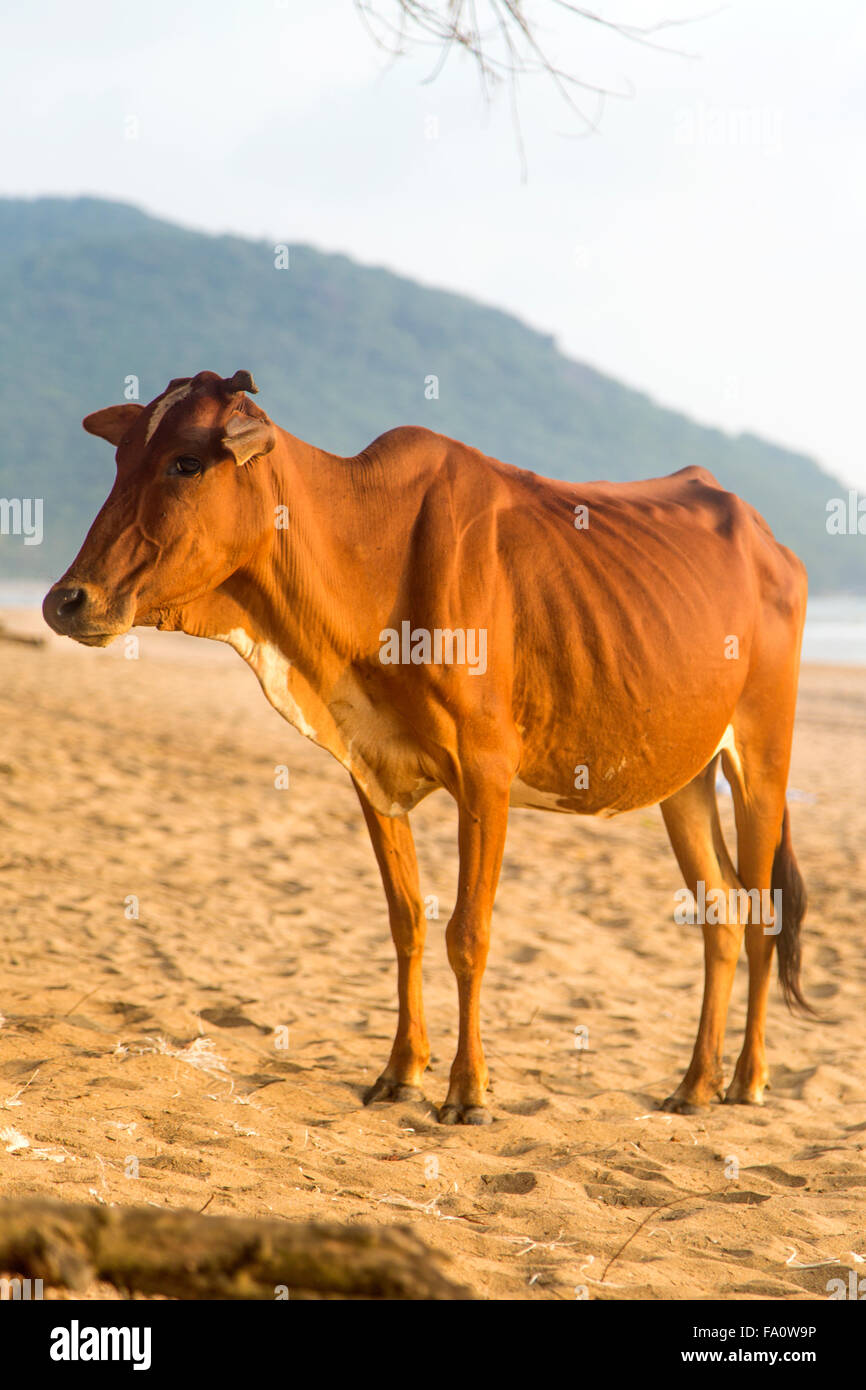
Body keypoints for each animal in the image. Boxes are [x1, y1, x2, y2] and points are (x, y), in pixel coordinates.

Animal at [43, 369, 810, 1123]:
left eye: (187, 463)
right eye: (121, 460)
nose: (65, 601)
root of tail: (772, 543)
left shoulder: (486, 774)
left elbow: (467, 936)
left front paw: (468, 1091)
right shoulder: (371, 772)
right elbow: (406, 922)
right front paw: (401, 1072)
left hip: (763, 757)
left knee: (762, 911)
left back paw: (747, 1080)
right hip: (686, 777)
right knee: (722, 912)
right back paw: (695, 1085)